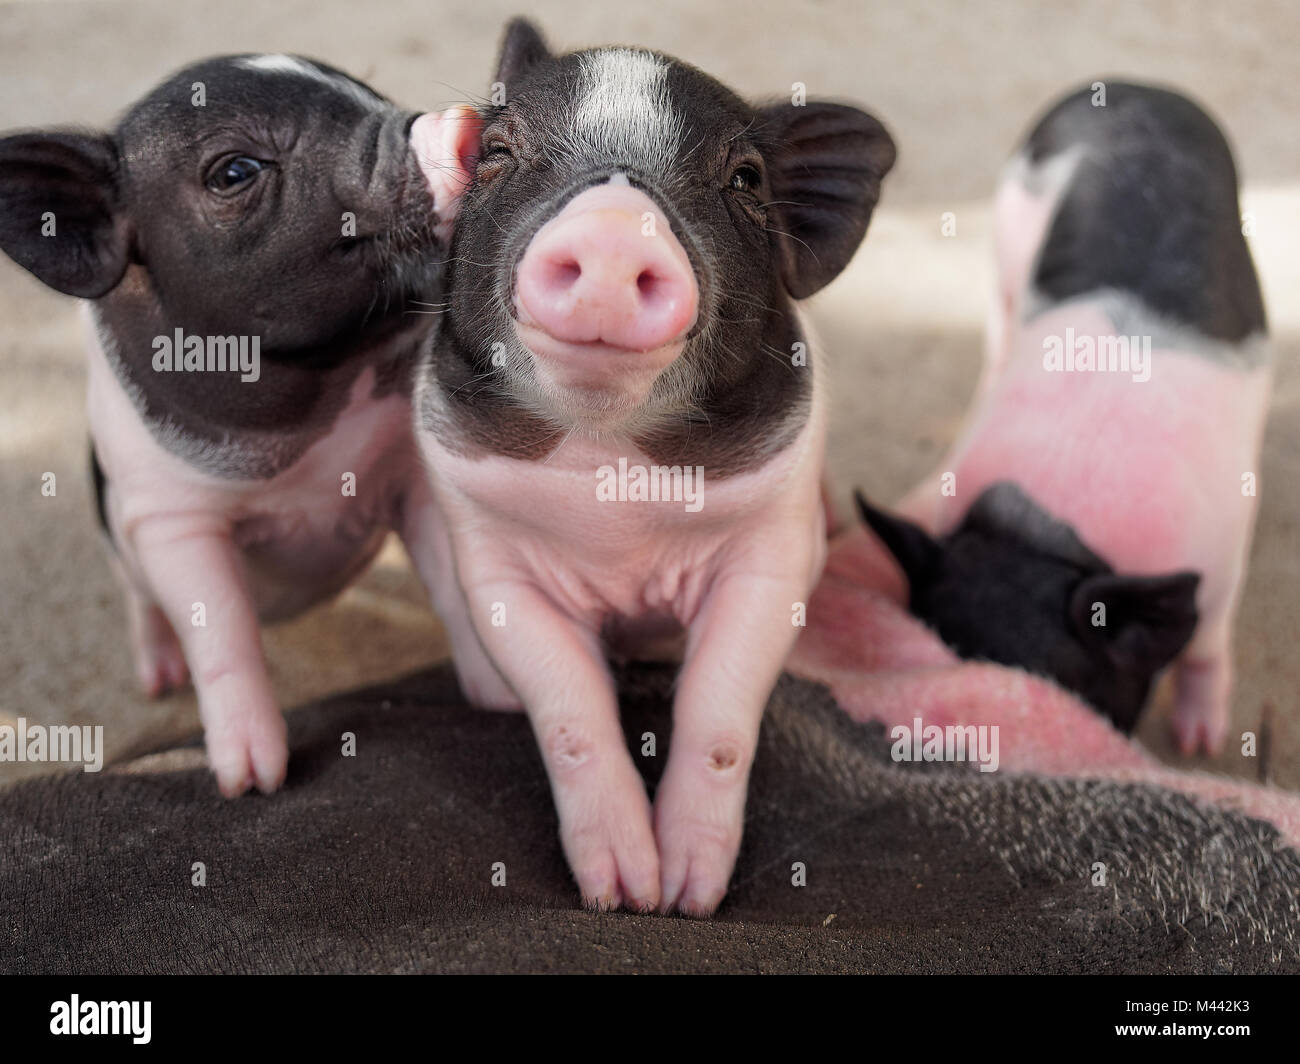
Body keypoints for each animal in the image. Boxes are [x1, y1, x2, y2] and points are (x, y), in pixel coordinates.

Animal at [0, 56, 481, 796]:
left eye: (371, 94)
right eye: (234, 171)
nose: (461, 121)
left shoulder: (410, 476)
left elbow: (450, 583)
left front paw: (497, 700)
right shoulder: (170, 518)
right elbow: (222, 628)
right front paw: (253, 780)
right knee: (141, 604)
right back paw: (158, 681)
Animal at [407, 18, 895, 914]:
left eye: (744, 177)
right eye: (496, 151)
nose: (609, 227)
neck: (615, 499)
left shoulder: (772, 550)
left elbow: (719, 713)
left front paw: (686, 898)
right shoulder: (493, 561)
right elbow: (569, 715)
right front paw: (619, 894)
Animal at [865, 81, 1270, 753]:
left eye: (1065, 693)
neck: (1045, 536)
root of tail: (1135, 87)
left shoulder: (1224, 558)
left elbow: (1205, 650)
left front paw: (1200, 743)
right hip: (1008, 230)